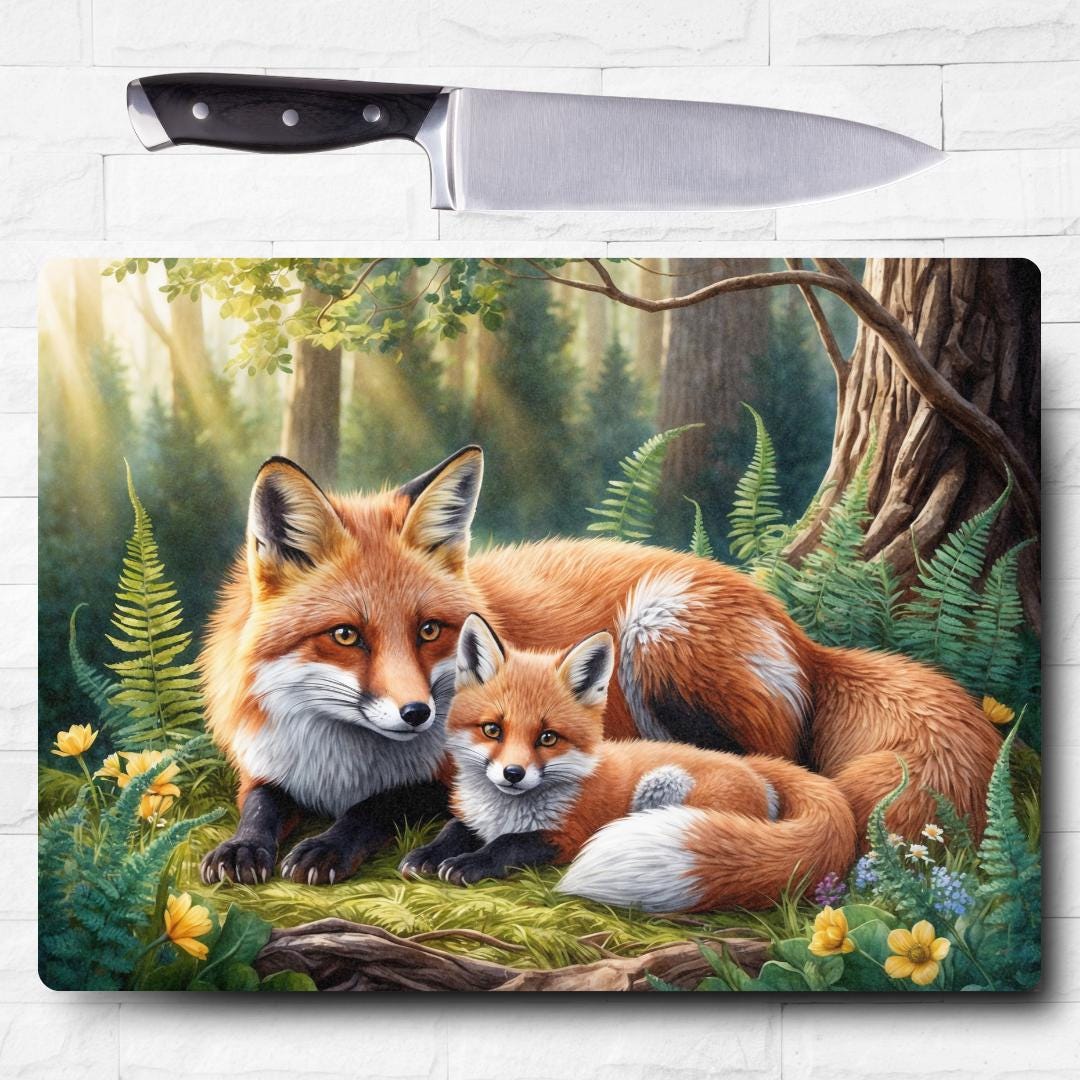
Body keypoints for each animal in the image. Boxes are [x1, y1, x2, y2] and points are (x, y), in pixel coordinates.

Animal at [399, 614, 859, 911]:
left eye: (547, 738)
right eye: (493, 730)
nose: (513, 774)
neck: (506, 810)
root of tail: (754, 767)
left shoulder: (567, 835)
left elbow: (508, 844)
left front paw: (469, 864)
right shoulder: (474, 818)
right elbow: (454, 829)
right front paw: (426, 855)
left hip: (663, 788)